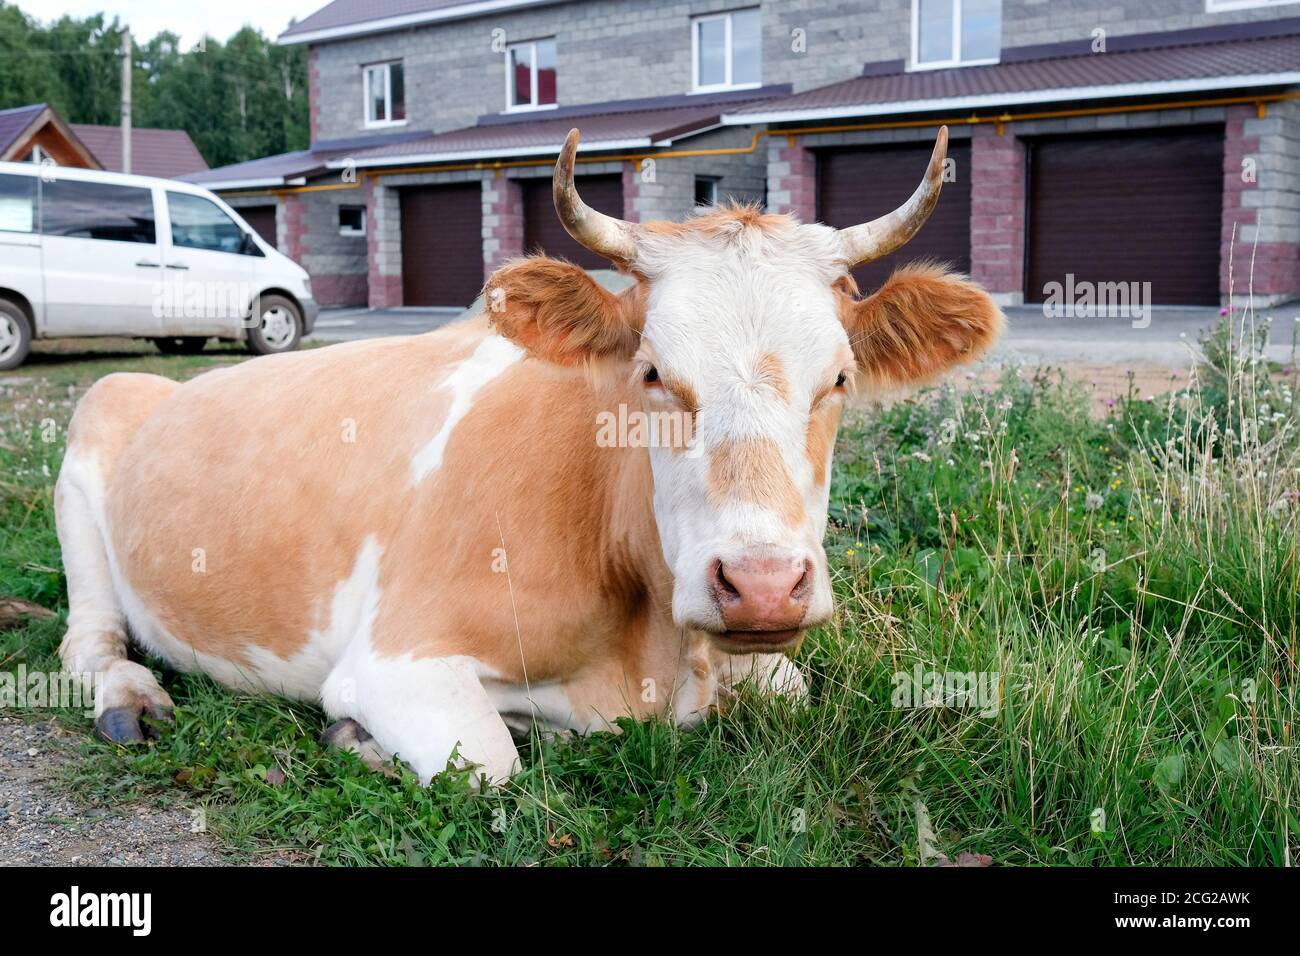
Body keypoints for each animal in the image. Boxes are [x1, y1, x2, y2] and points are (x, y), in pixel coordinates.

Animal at [54, 126, 1002, 786]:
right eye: (652, 372)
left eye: (838, 378)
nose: (763, 584)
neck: (651, 651)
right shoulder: (397, 657)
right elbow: (489, 767)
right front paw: (360, 739)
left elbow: (793, 691)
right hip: (89, 441)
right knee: (87, 639)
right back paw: (130, 699)